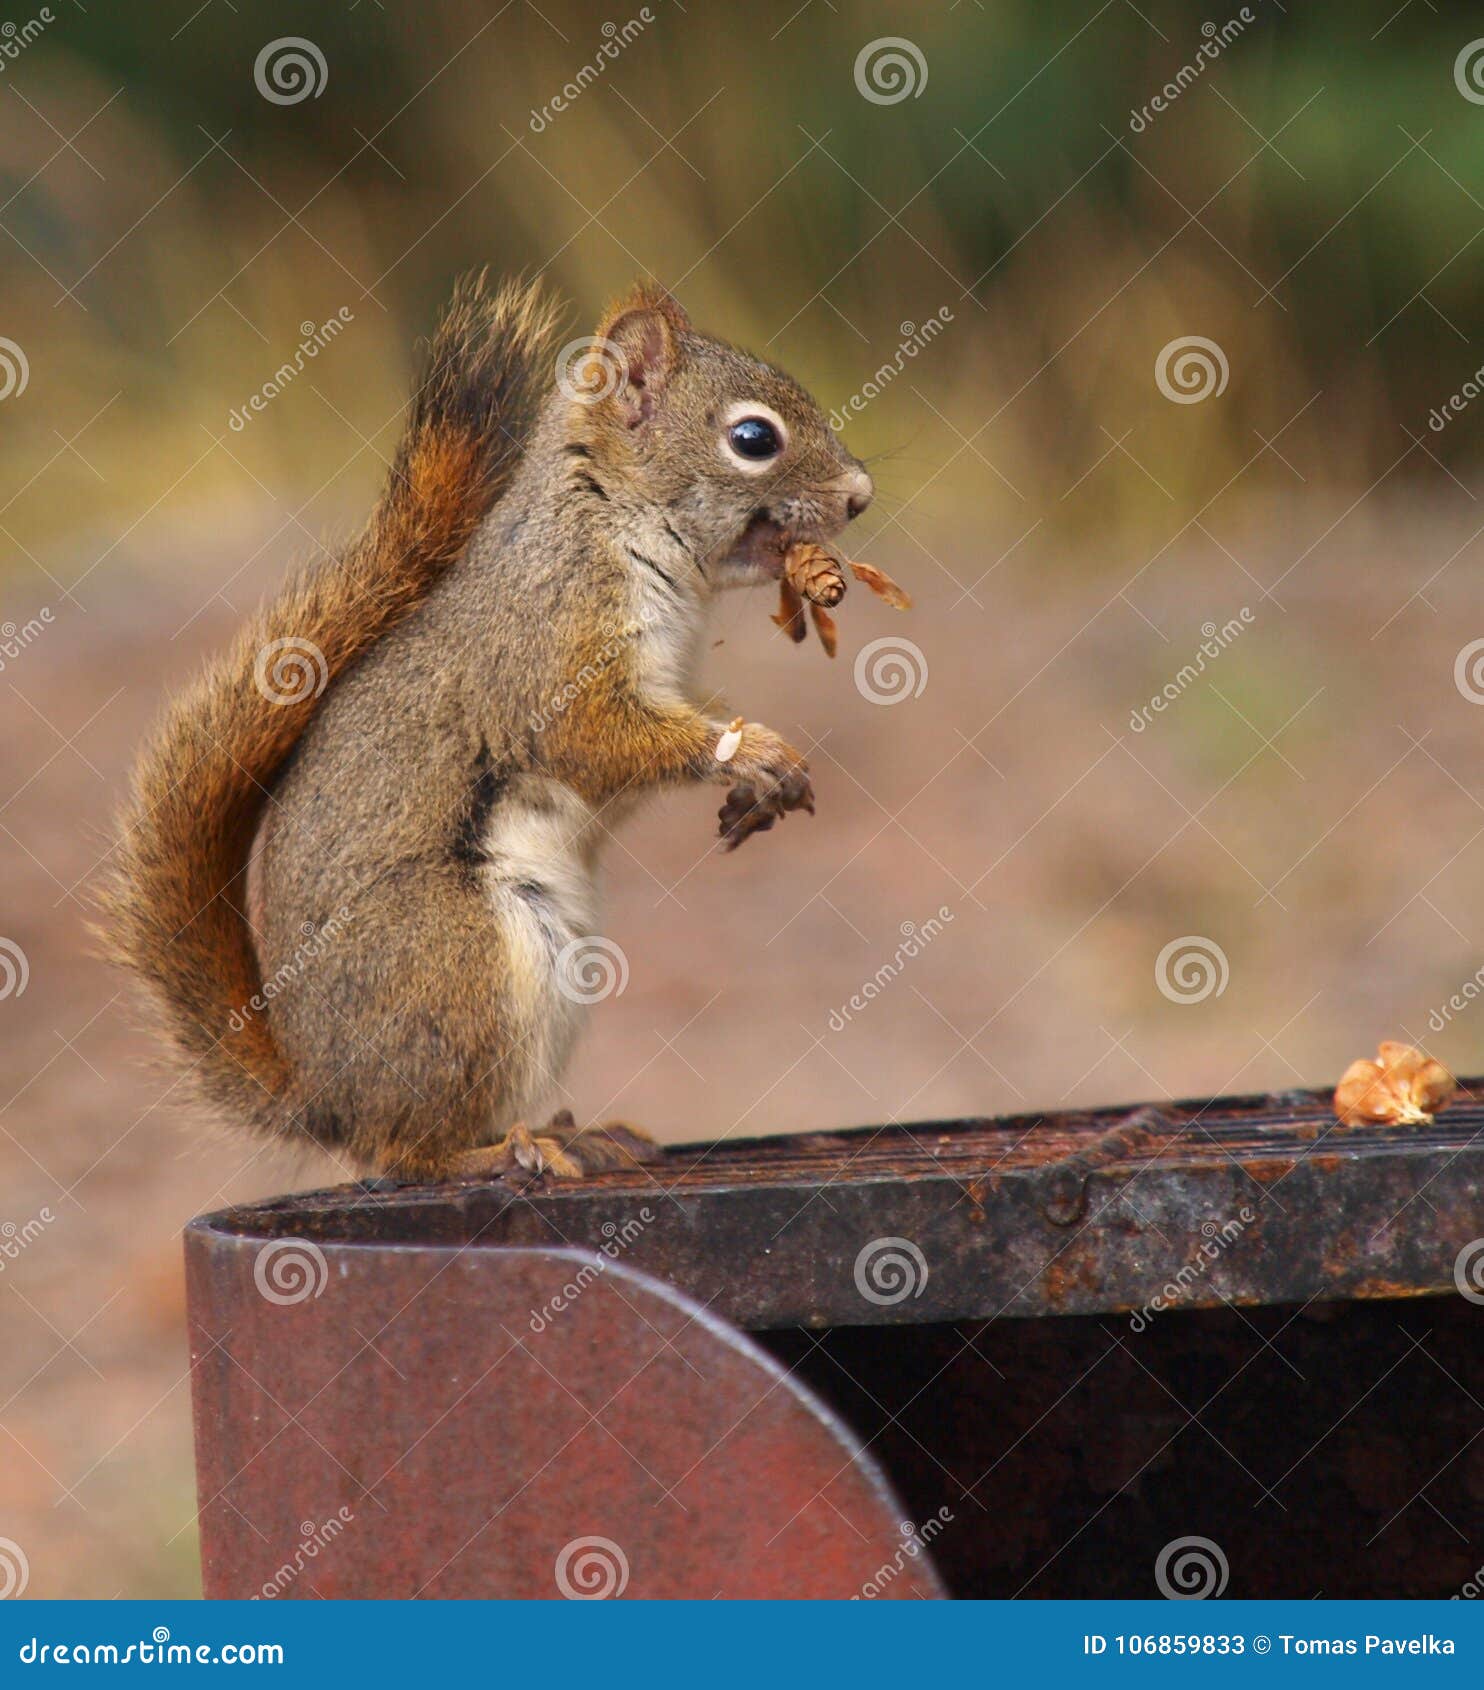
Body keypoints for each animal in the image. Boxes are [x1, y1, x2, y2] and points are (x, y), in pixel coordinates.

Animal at [99, 274, 873, 1184]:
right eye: (753, 438)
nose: (860, 496)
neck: (614, 520)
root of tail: (323, 1096)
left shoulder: (676, 674)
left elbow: (695, 712)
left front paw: (770, 774)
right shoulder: (550, 648)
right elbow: (595, 737)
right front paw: (748, 753)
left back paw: (576, 1134)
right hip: (459, 956)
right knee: (405, 1151)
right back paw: (498, 1152)